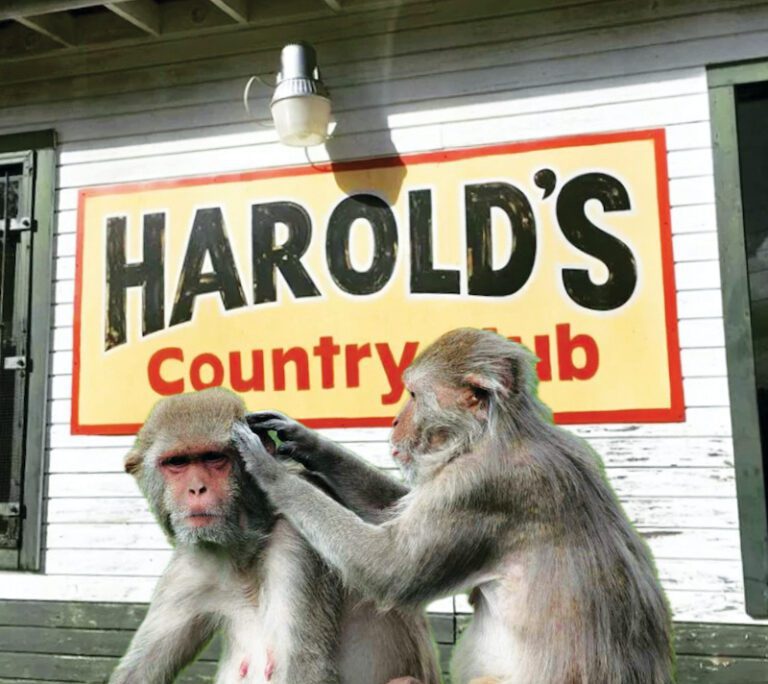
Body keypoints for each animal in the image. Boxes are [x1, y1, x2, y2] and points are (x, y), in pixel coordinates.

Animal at [109, 387, 441, 684]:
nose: (196, 489)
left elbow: (305, 664)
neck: (243, 554)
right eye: (177, 463)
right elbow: (136, 674)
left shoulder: (295, 544)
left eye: (213, 458)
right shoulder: (188, 570)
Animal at [235, 328, 675, 684]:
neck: (494, 434)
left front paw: (271, 472)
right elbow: (395, 510)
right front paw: (305, 439)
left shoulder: (476, 489)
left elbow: (389, 568)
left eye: (413, 395)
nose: (393, 422)